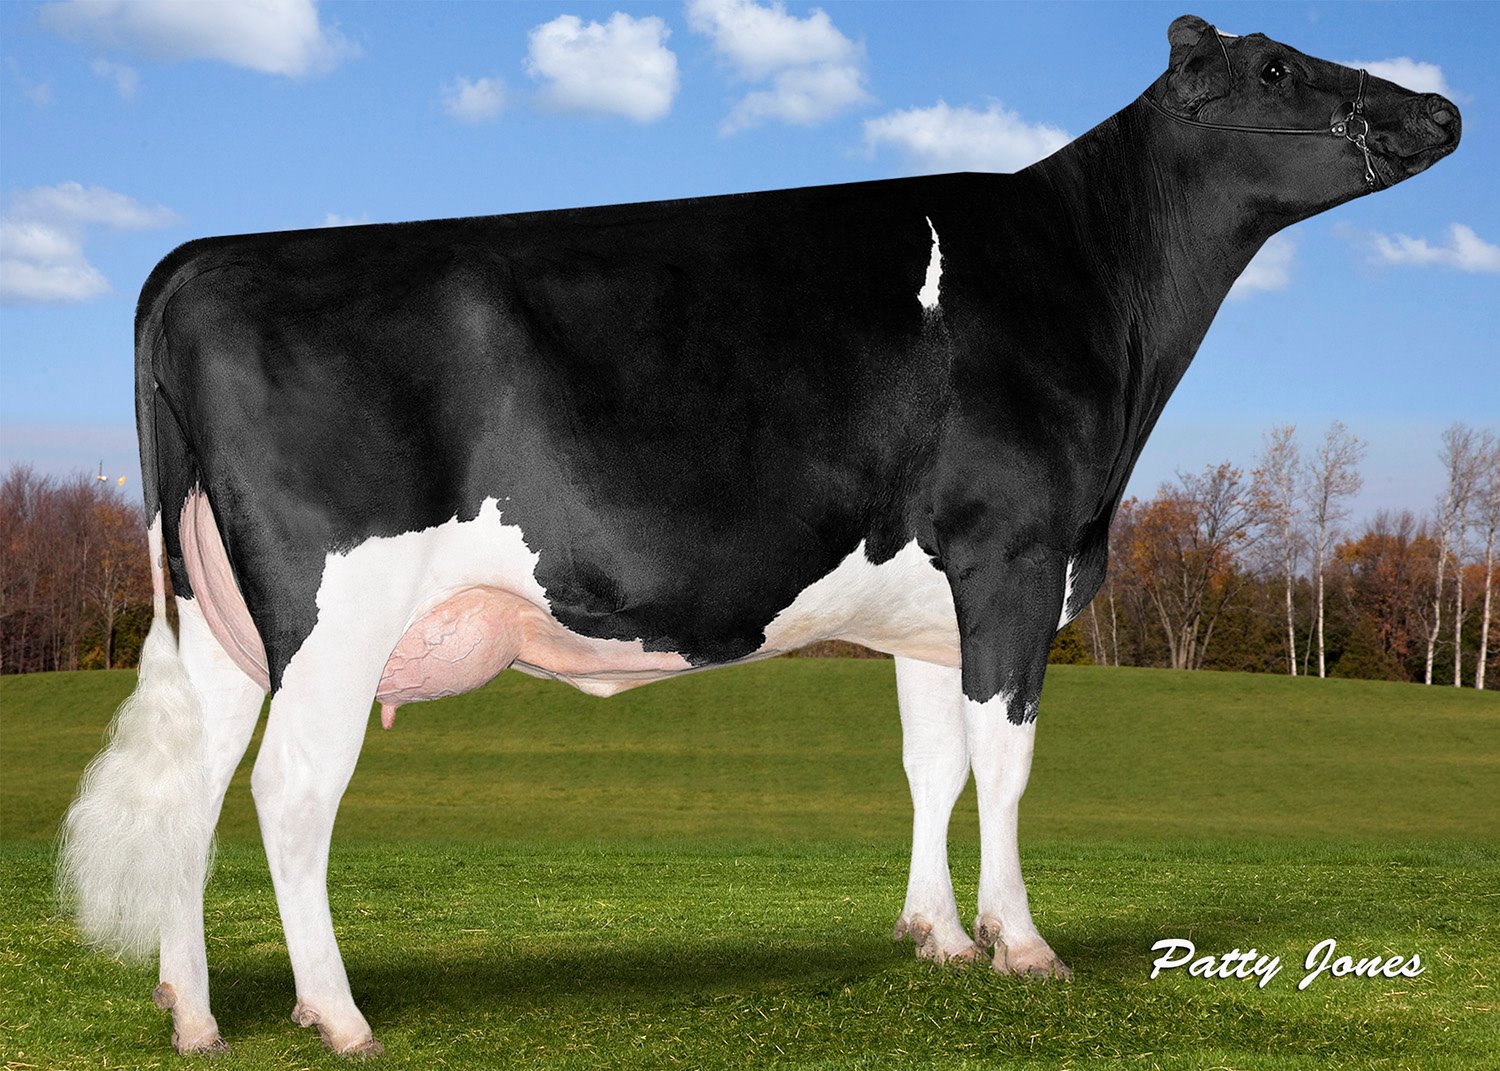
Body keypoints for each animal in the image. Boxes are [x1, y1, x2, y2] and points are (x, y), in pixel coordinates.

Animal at [60, 14, 1459, 1057]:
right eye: (1278, 68)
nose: (1444, 113)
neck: (1092, 285)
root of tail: (201, 258)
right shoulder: (1014, 553)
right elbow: (1004, 765)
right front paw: (1022, 946)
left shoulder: (930, 606)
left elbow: (932, 766)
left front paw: (936, 938)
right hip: (333, 610)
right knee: (290, 792)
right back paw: (337, 1017)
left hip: (219, 622)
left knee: (193, 792)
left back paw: (193, 1016)